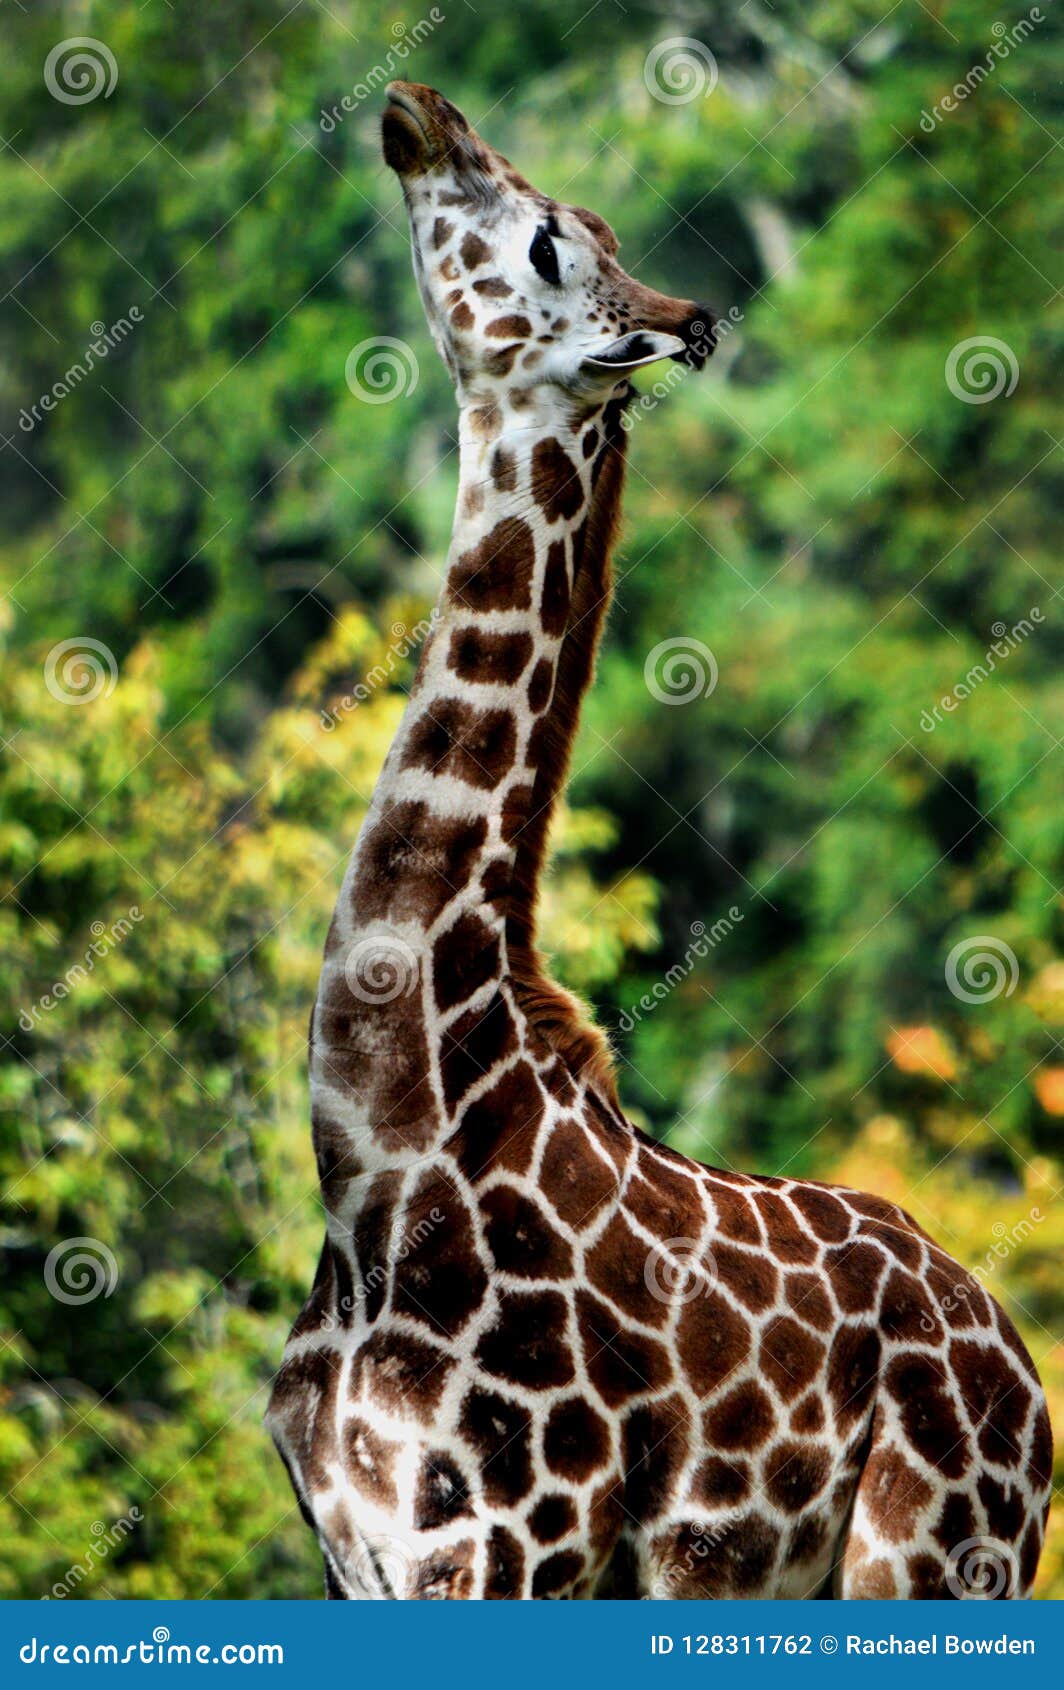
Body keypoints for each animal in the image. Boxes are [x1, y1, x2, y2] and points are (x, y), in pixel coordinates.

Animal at [266, 82, 1052, 1601]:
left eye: (547, 240)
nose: (420, 107)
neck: (380, 1163)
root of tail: (1033, 1388)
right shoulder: (351, 1553)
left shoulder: (515, 1539)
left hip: (931, 1557)